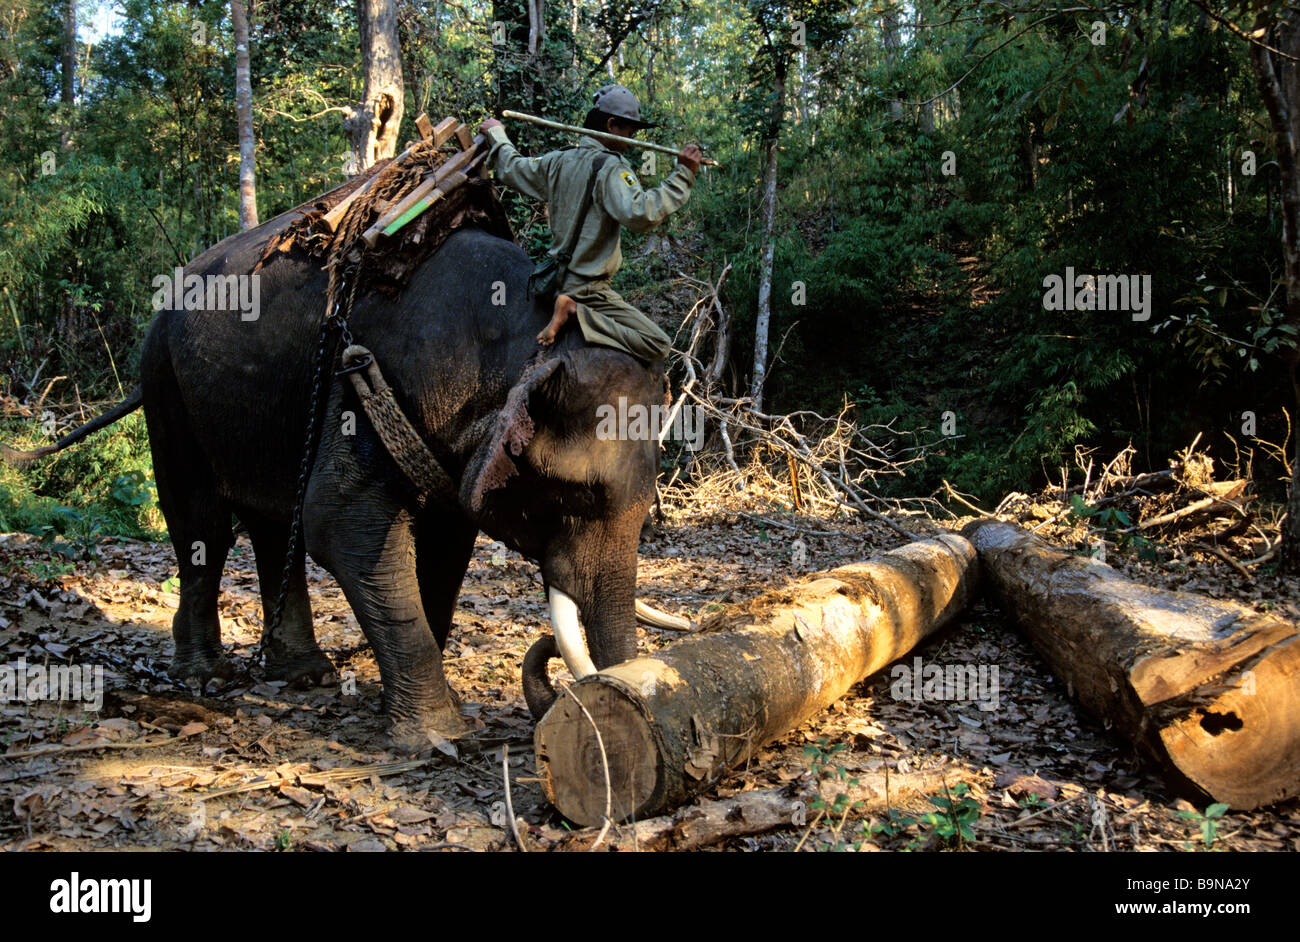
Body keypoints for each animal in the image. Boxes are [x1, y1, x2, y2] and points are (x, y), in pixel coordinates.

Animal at [2, 208, 689, 751]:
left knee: (274, 527)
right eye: (575, 494)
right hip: (167, 388)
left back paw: (305, 672)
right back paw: (203, 676)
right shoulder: (359, 379)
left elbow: (443, 546)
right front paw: (437, 734)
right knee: (203, 527)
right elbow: (339, 525)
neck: (524, 334)